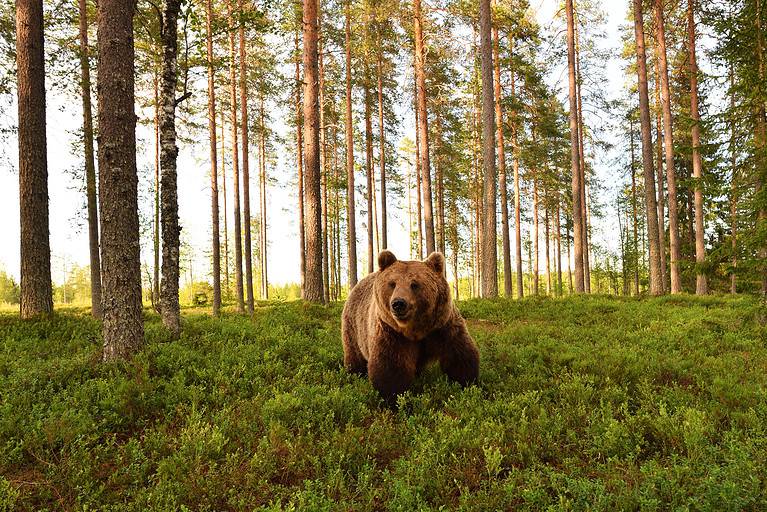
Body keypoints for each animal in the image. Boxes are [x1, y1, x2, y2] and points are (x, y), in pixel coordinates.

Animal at [341, 250, 480, 403]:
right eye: (392, 284)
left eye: (414, 284)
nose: (398, 303)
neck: (416, 329)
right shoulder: (391, 332)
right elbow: (391, 367)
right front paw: (393, 397)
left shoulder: (442, 326)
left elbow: (458, 354)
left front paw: (467, 383)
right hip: (353, 327)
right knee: (354, 354)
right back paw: (354, 374)